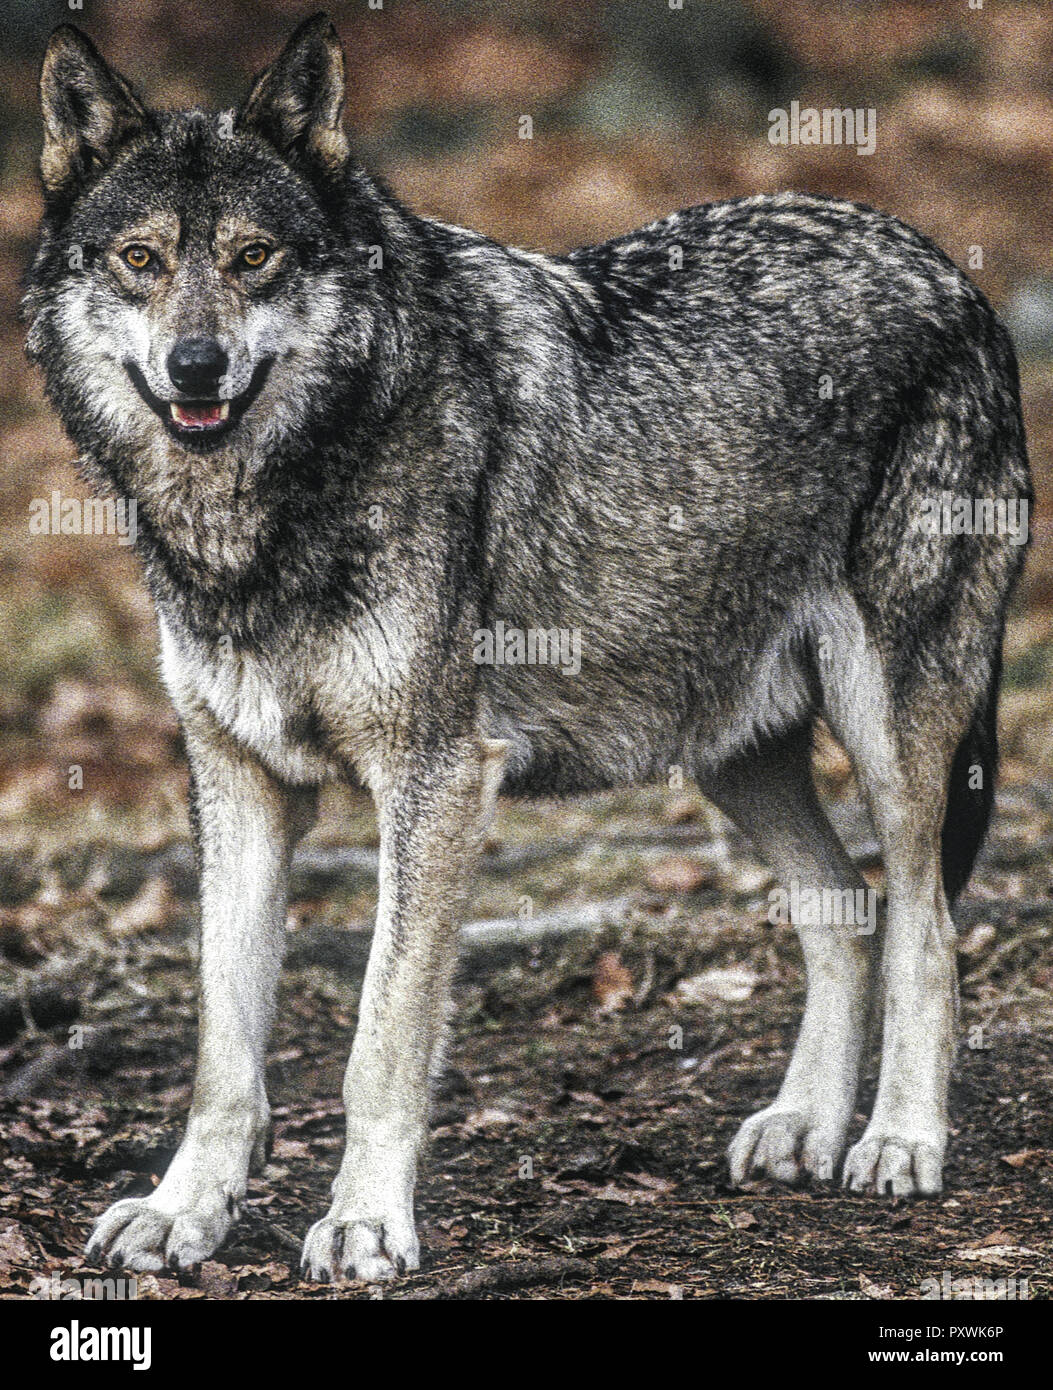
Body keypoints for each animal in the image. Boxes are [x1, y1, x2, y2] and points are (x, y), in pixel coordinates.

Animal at [25, 15, 1030, 1283]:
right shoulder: (238, 781)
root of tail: (953, 272)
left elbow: (381, 1036)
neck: (262, 517)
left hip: (892, 731)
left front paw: (365, 1222)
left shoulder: (438, 779)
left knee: (924, 928)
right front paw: (184, 1210)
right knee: (842, 908)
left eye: (254, 257)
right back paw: (803, 1124)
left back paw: (898, 1140)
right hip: (729, 751)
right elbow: (221, 1047)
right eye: (142, 260)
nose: (196, 366)